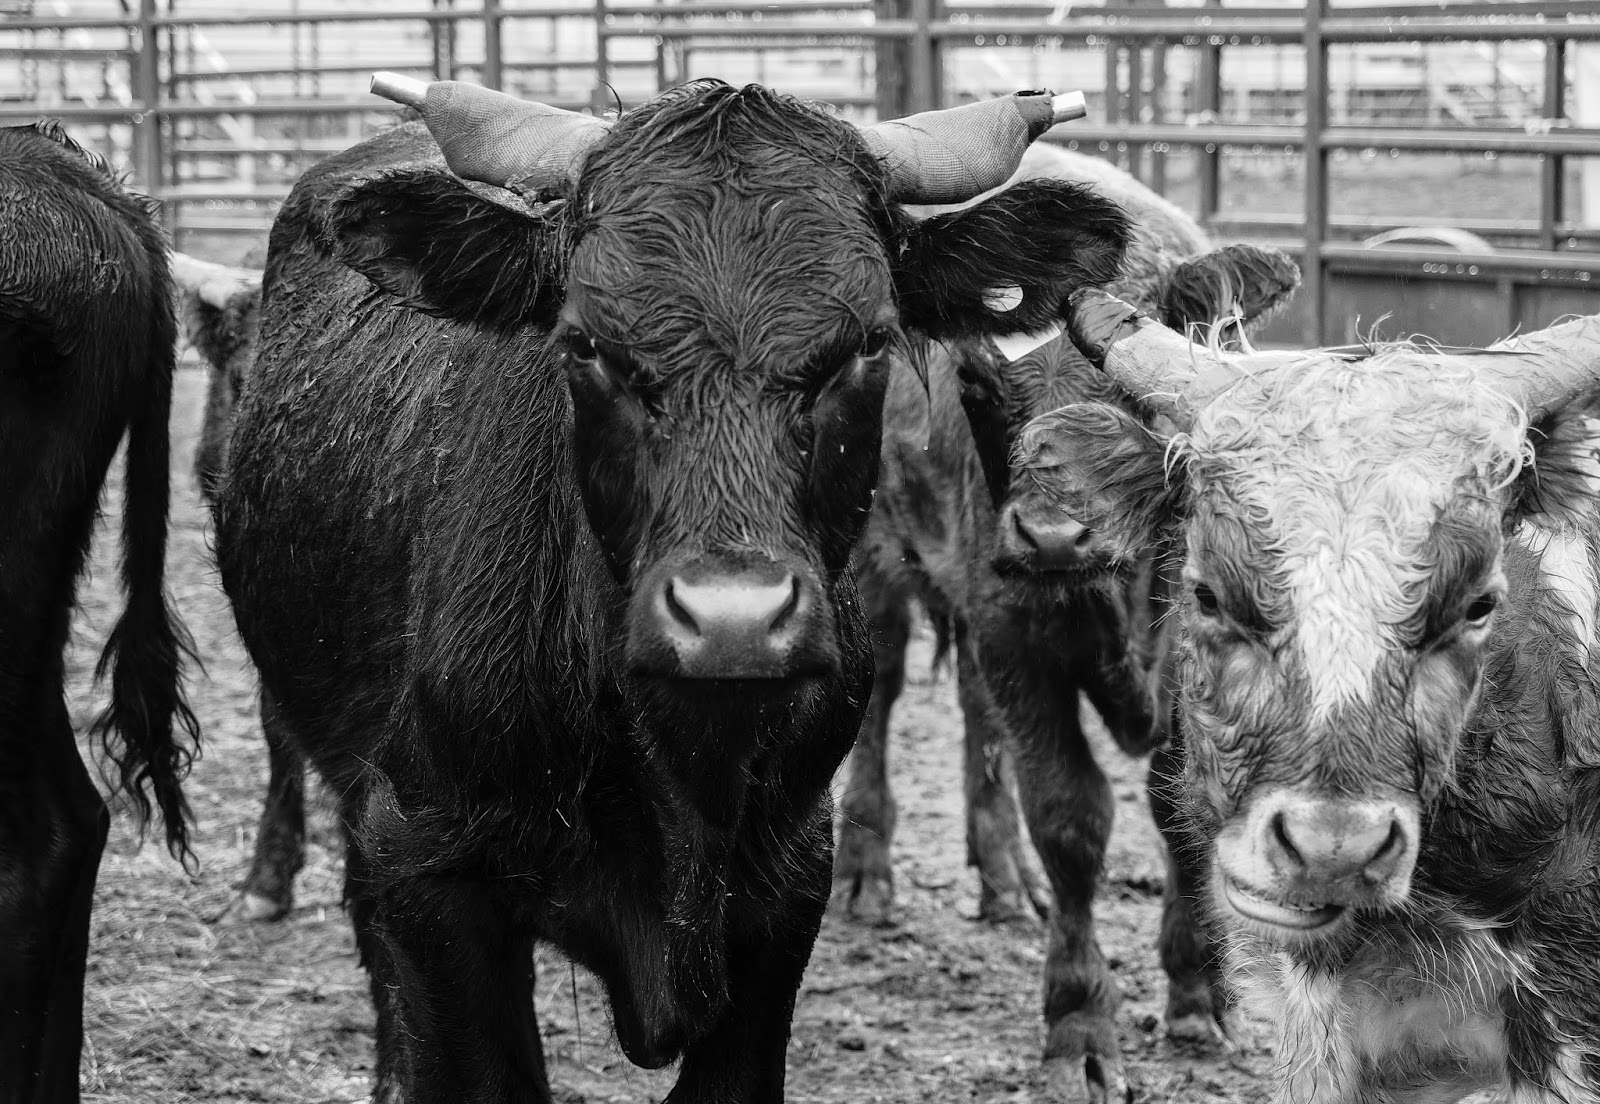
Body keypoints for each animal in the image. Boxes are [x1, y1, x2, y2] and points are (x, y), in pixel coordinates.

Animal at [831, 142, 1299, 1101]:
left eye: (1130, 380)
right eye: (976, 381)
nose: (1051, 537)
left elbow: (1179, 808)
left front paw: (1198, 993)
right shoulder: (1021, 638)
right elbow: (1071, 819)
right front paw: (1079, 1025)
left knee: (975, 713)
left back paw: (1005, 879)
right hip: (886, 564)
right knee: (885, 693)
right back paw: (868, 871)